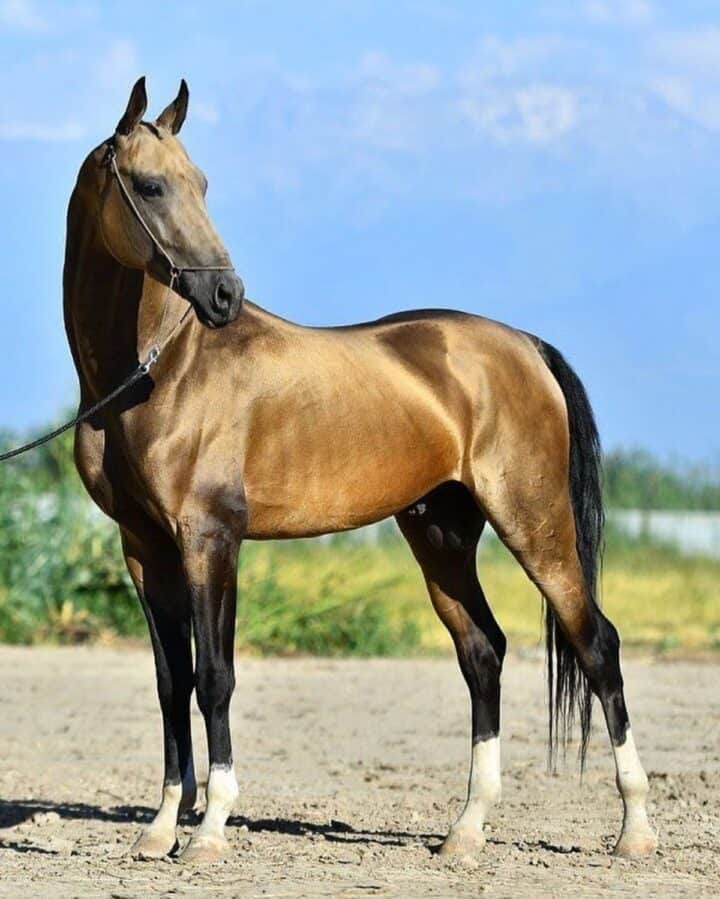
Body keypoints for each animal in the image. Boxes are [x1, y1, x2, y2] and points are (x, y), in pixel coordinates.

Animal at [64, 77, 657, 863]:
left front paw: (212, 827)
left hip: (535, 522)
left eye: (202, 184)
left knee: (597, 644)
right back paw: (466, 828)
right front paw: (161, 827)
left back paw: (635, 827)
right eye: (152, 186)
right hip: (440, 533)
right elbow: (172, 681)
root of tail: (525, 345)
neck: (155, 373)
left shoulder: (210, 538)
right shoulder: (145, 545)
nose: (224, 295)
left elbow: (215, 677)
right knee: (484, 652)